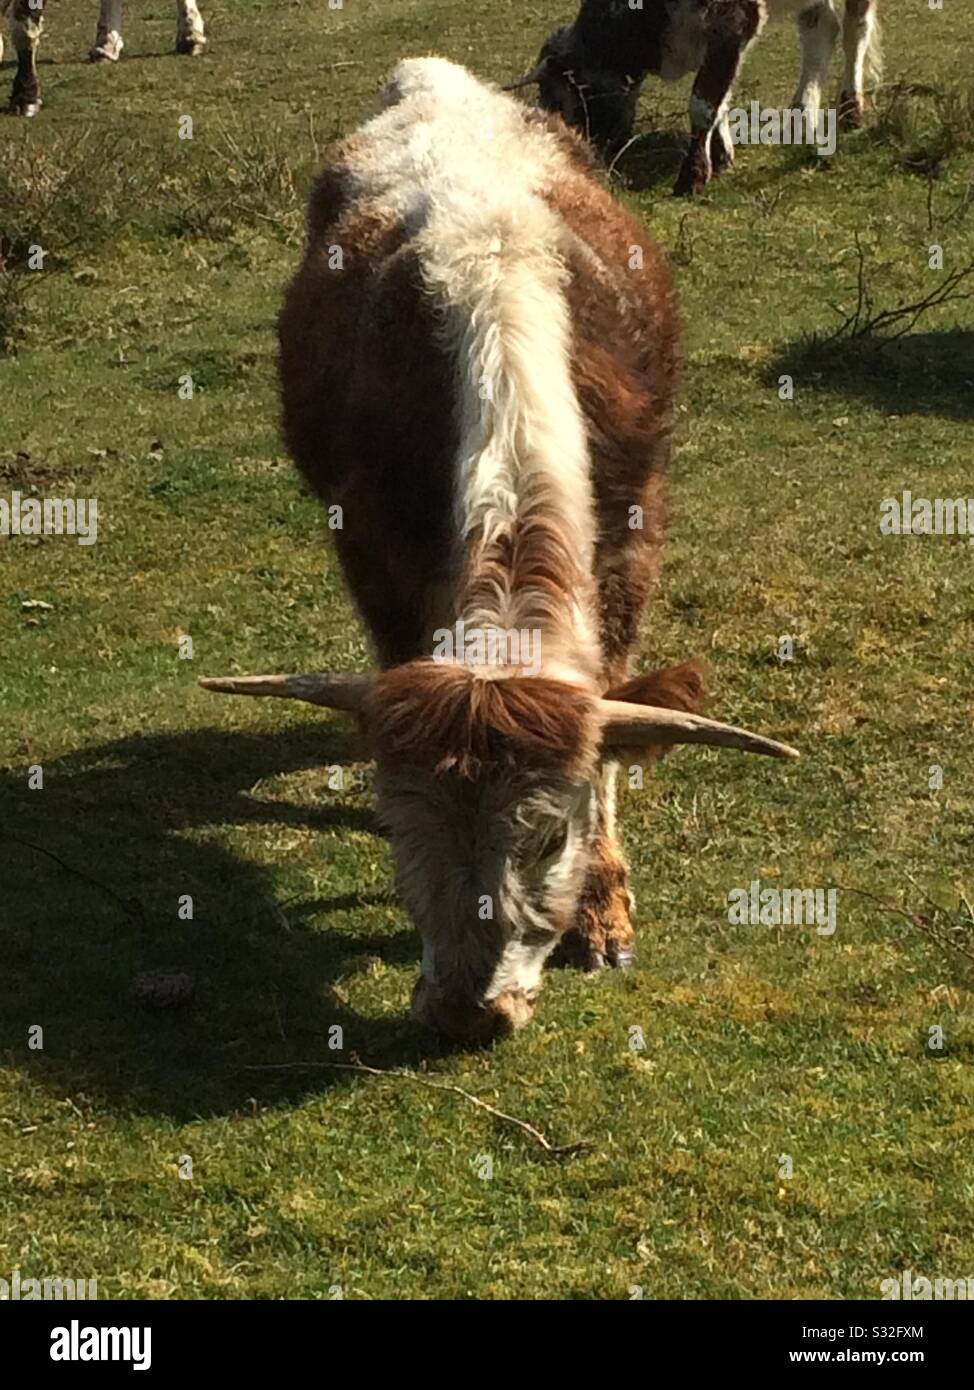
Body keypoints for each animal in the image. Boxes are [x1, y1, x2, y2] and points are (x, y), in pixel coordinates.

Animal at [201, 59, 798, 1043]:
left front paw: (602, 906)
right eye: (405, 825)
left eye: (549, 834)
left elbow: (612, 725)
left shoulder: (631, 536)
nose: (465, 1011)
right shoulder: (371, 543)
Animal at [508, 0, 882, 195]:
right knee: (820, 25)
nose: (584, 159)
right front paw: (721, 155)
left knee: (854, 28)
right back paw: (801, 112)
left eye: (568, 99)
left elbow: (703, 103)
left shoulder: (732, 20)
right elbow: (720, 99)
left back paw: (850, 106)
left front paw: (693, 175)